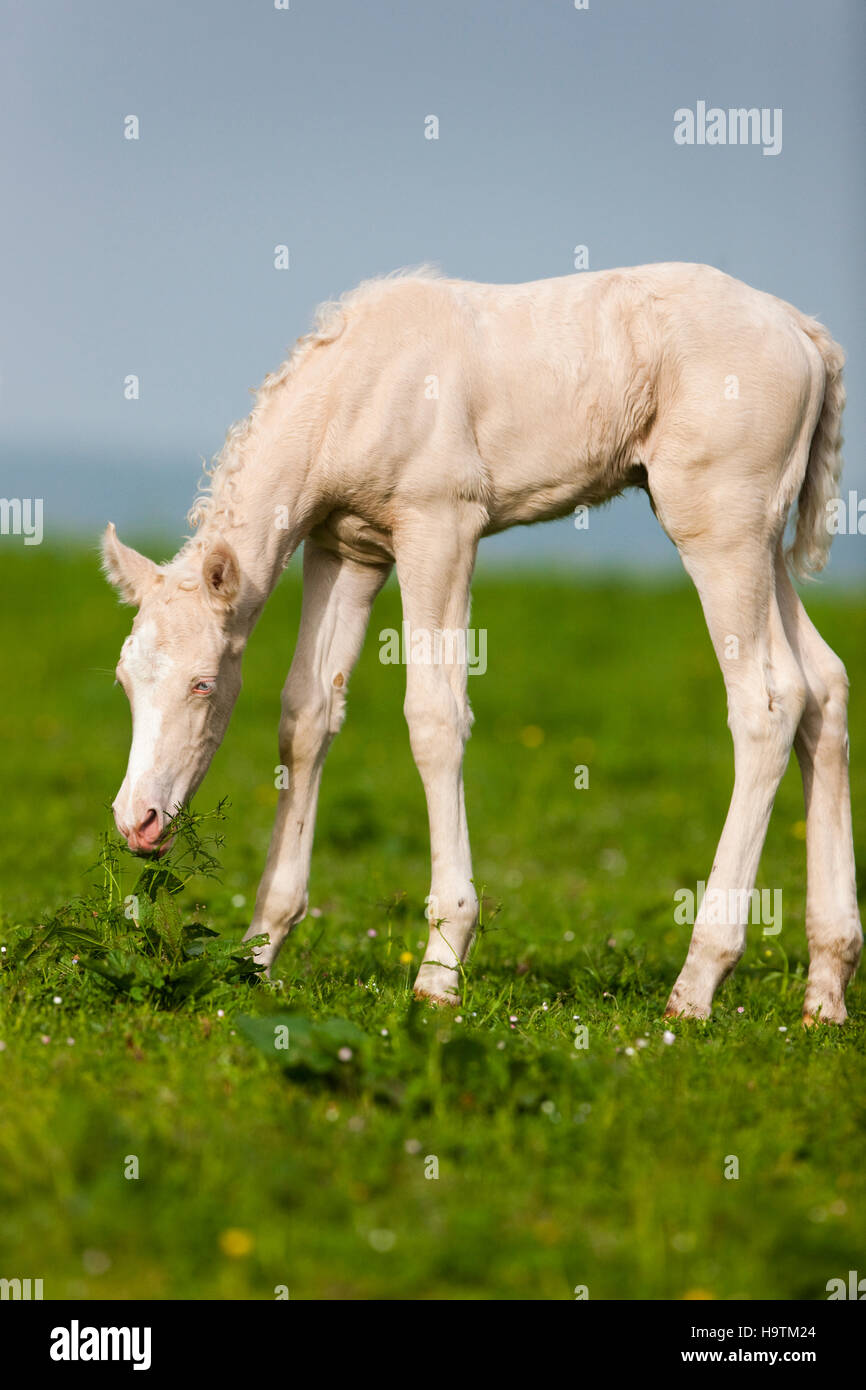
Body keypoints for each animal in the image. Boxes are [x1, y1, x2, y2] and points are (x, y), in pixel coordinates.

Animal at [101, 263, 862, 1022]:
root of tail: (805, 334)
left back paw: (697, 983)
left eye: (204, 684)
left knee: (767, 703)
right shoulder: (345, 549)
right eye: (124, 684)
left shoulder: (441, 525)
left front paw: (440, 968)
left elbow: (434, 718)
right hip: (760, 535)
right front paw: (257, 952)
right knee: (822, 685)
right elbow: (306, 717)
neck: (355, 390)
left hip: (718, 523)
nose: (137, 822)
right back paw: (825, 990)